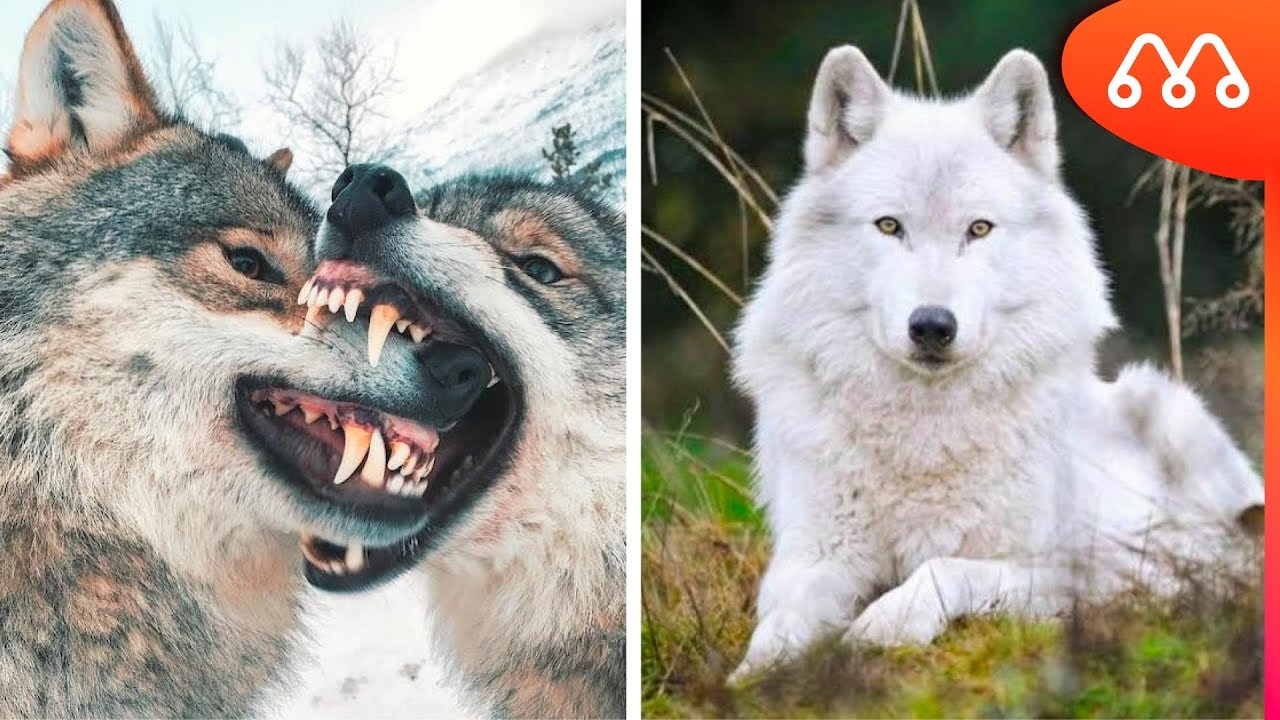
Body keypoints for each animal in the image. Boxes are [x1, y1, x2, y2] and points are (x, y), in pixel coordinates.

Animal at [729, 46, 1263, 681]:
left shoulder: (1088, 569)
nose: (932, 325)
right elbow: (780, 620)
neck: (925, 437)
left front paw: (885, 623)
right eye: (889, 226)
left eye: (978, 229)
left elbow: (945, 568)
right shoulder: (813, 555)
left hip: (1165, 408)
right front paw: (751, 674)